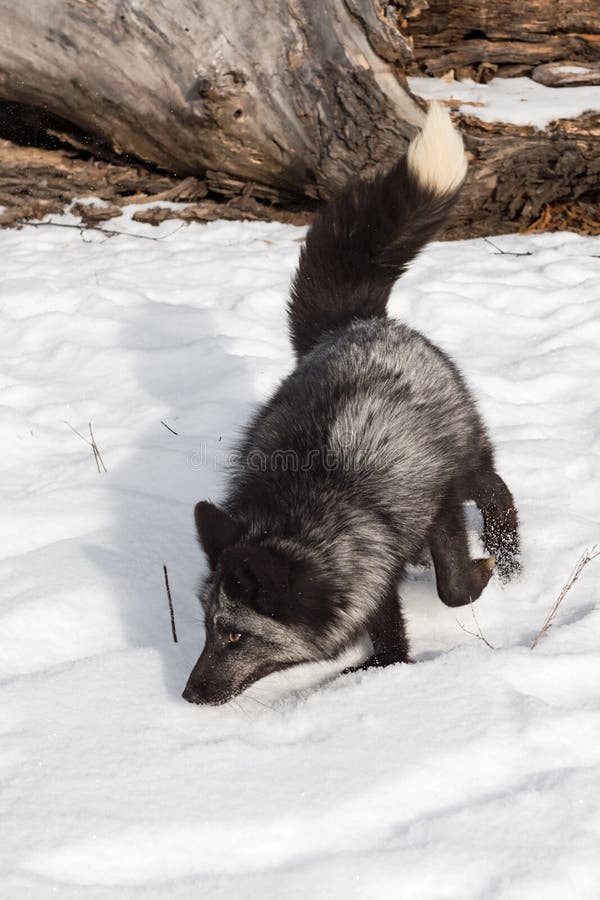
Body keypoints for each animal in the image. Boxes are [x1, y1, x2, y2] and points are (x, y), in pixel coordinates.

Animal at [183, 103, 520, 706]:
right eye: (204, 627)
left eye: (236, 635)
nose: (188, 695)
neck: (313, 505)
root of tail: (354, 322)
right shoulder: (369, 576)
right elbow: (387, 635)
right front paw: (383, 669)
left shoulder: (434, 508)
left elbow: (453, 588)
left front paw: (479, 578)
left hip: (467, 460)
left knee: (498, 491)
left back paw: (510, 563)